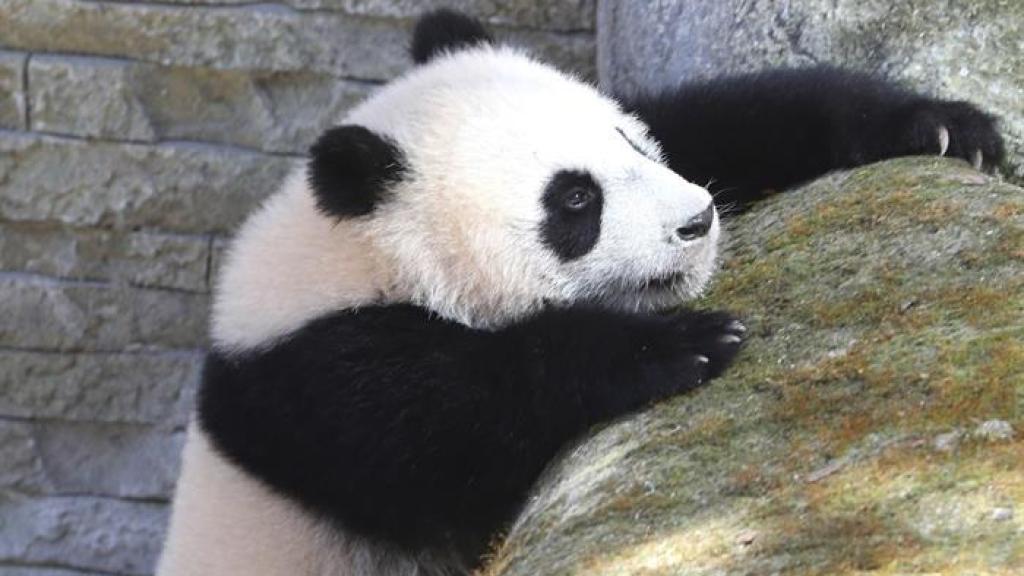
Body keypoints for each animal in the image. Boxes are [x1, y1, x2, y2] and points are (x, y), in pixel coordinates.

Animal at [157, 9, 1003, 576]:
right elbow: (459, 412)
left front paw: (940, 125)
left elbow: (727, 117)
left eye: (629, 142)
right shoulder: (312, 387)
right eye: (574, 201)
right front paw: (679, 344)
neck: (355, 252)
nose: (698, 221)